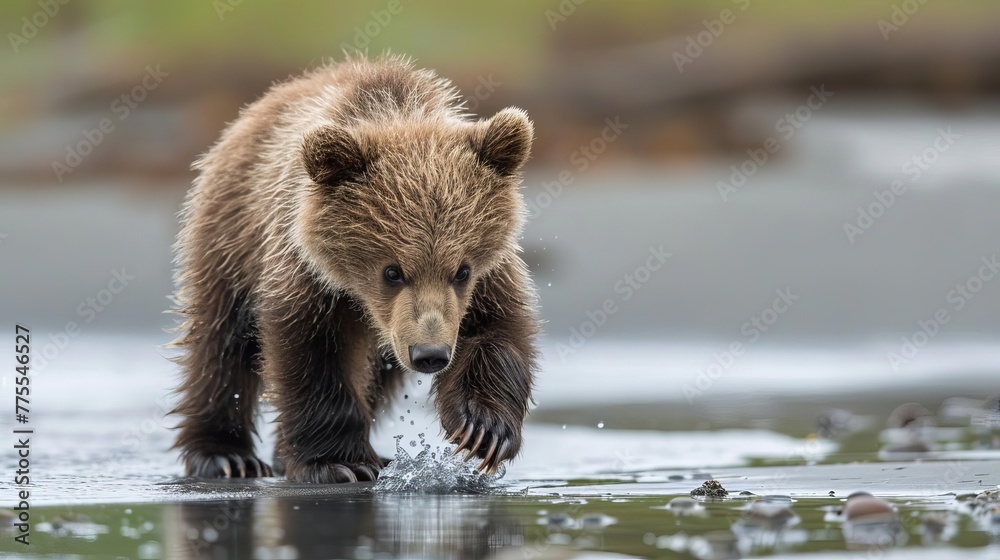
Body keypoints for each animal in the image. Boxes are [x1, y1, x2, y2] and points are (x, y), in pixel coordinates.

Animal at [169, 54, 539, 483]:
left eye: (461, 270)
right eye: (392, 271)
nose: (430, 354)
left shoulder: (486, 278)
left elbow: (495, 331)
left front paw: (484, 430)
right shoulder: (305, 271)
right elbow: (311, 352)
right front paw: (339, 461)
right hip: (232, 235)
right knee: (221, 343)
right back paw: (225, 455)